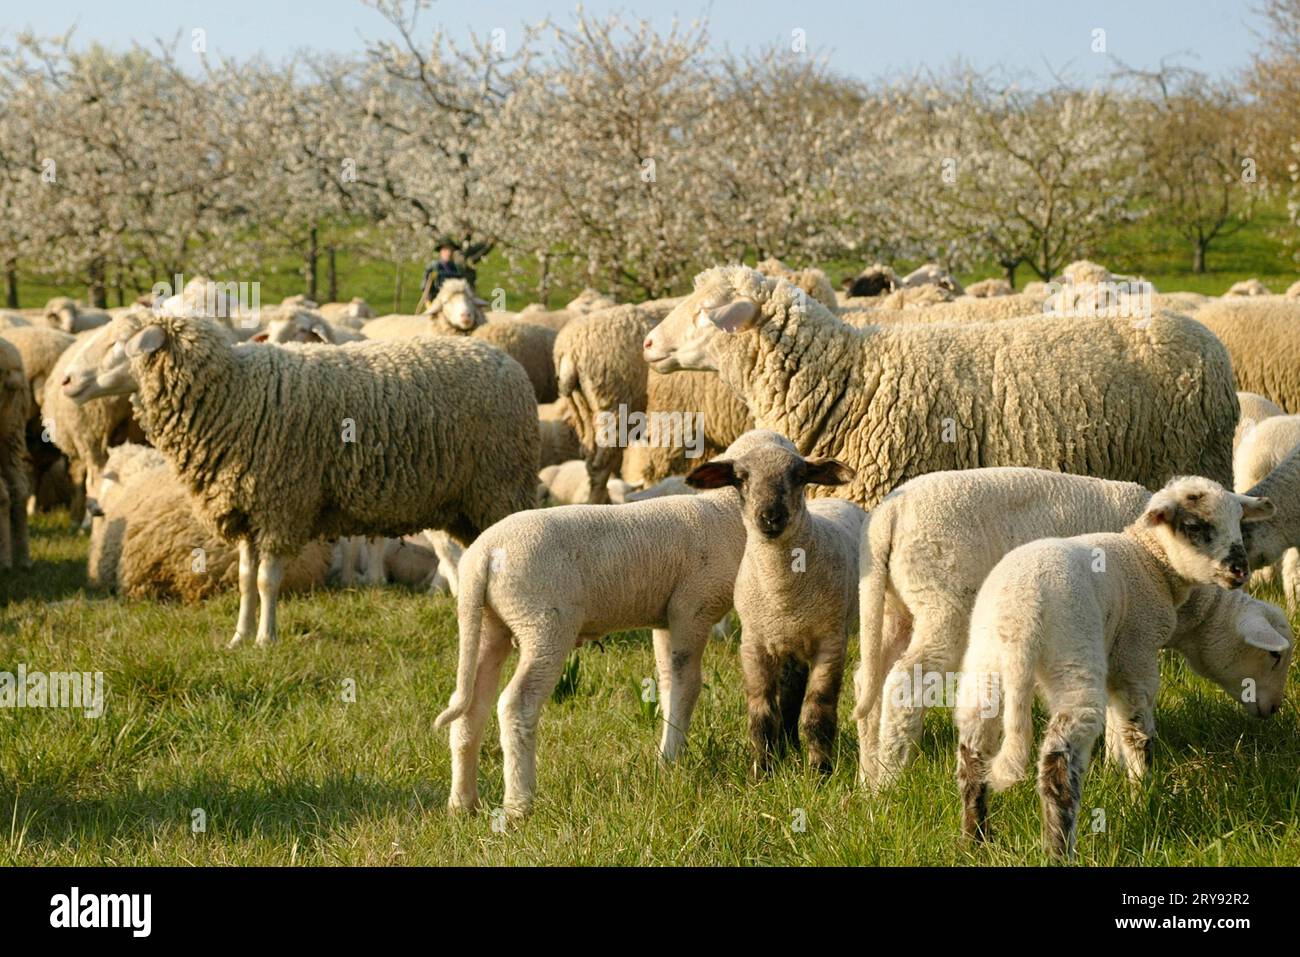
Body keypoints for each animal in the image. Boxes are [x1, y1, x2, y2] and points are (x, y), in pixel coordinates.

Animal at [70, 311, 539, 647]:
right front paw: (238, 638)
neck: (234, 395)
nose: (67, 380)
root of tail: (507, 362)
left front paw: (266, 640)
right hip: (464, 504)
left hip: (501, 487)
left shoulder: (282, 505)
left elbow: (267, 580)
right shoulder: (247, 511)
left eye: (118, 344)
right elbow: (245, 579)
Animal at [433, 429, 780, 817]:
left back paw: (463, 803)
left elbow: (669, 684)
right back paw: (519, 805)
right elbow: (688, 686)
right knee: (516, 705)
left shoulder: (666, 618)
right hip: (543, 623)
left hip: (490, 624)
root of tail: (484, 554)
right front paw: (673, 758)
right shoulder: (692, 609)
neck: (725, 513)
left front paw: (667, 760)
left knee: (470, 706)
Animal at [685, 436, 864, 774]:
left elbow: (818, 712)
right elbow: (762, 714)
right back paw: (788, 745)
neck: (783, 595)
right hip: (787, 642)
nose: (770, 516)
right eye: (741, 479)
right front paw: (762, 770)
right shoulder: (754, 643)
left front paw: (820, 772)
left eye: (799, 476)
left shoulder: (831, 641)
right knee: (790, 693)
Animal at [854, 467, 1294, 790]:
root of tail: (889, 514)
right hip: (943, 604)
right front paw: (1121, 765)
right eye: (1273, 656)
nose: (1274, 709)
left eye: (1239, 523)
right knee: (905, 682)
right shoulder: (1126, 632)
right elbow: (1125, 713)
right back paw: (891, 780)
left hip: (896, 607)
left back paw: (869, 775)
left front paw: (1113, 763)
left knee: (869, 680)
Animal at [954, 477, 1273, 858]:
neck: (1150, 560)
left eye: (1239, 520)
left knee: (972, 754)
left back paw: (975, 840)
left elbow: (1117, 724)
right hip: (1074, 656)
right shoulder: (1137, 653)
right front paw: (1142, 795)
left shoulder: (1115, 657)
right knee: (1058, 761)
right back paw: (1059, 851)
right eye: (1195, 526)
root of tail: (1022, 611)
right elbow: (1136, 730)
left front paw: (1116, 770)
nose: (1240, 570)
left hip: (983, 666)